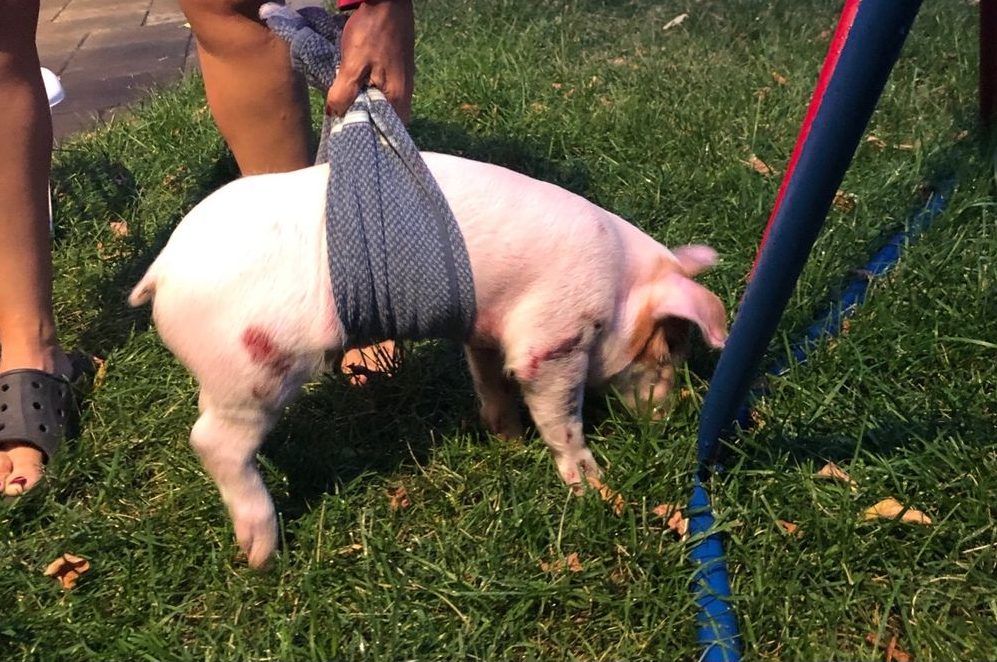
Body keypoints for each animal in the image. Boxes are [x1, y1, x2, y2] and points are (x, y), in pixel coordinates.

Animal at [129, 152, 728, 567]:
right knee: (211, 441)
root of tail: (163, 272)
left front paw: (508, 441)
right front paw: (592, 486)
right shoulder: (553, 338)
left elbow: (491, 383)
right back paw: (262, 556)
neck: (617, 285)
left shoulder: (486, 332)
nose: (670, 416)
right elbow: (560, 413)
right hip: (254, 369)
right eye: (668, 344)